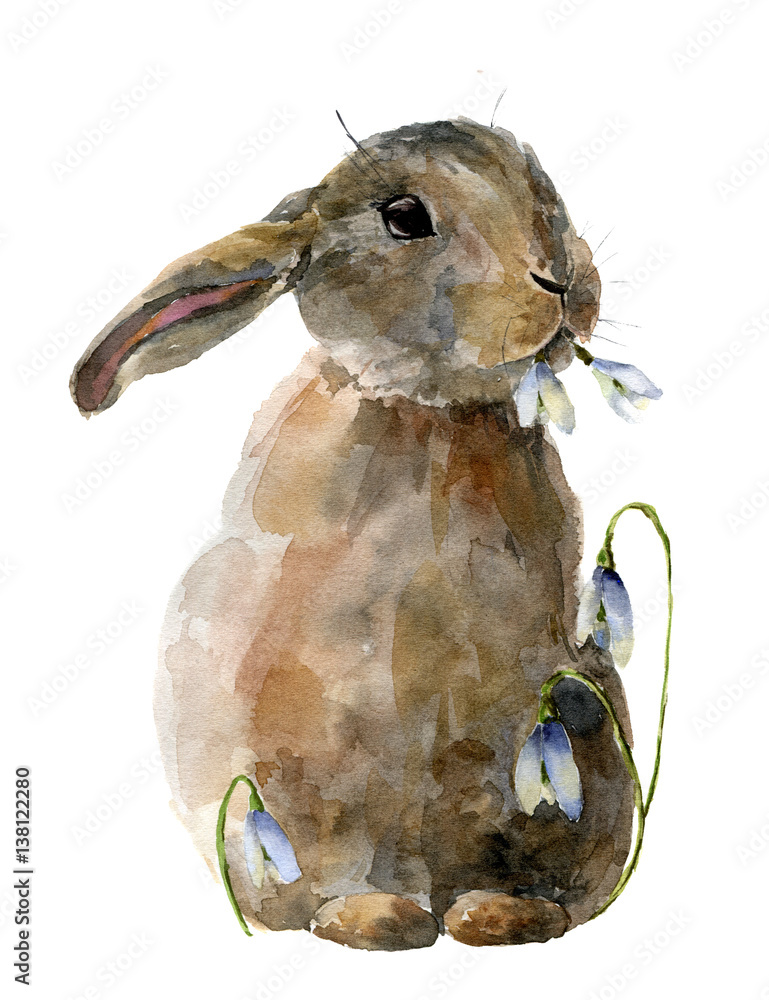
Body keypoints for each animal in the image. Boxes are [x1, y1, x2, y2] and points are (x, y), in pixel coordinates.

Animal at [71, 118, 636, 951]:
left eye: (540, 185)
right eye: (402, 217)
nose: (564, 281)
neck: (429, 406)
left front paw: (483, 913)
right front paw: (375, 918)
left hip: (587, 727)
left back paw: (499, 914)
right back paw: (377, 918)